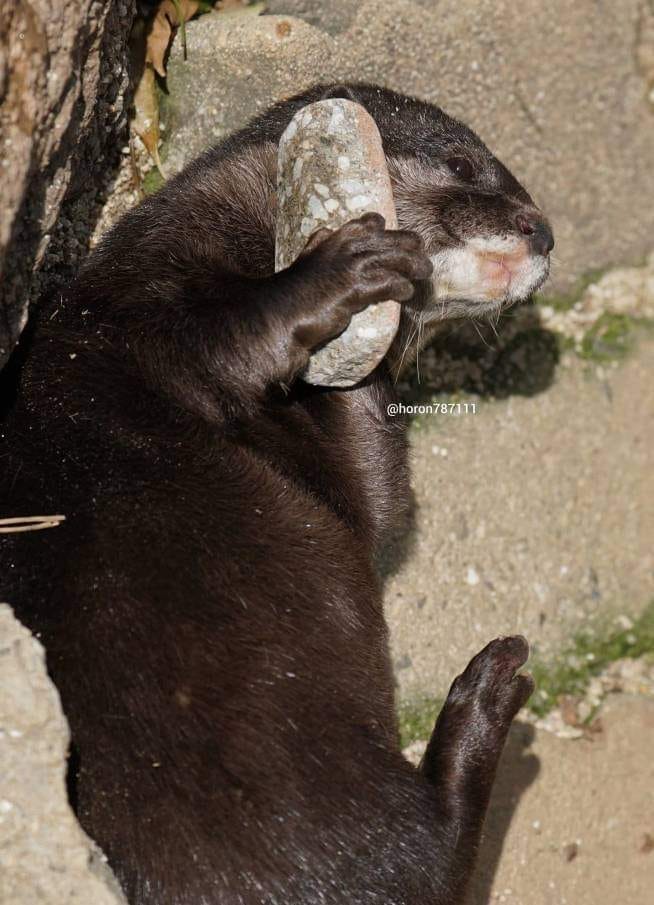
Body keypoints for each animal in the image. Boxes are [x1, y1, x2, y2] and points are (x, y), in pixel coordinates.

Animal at [0, 84, 552, 904]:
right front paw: (340, 271)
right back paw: (490, 696)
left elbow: (370, 504)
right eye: (465, 166)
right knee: (426, 858)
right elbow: (226, 333)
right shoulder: (131, 316)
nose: (542, 229)